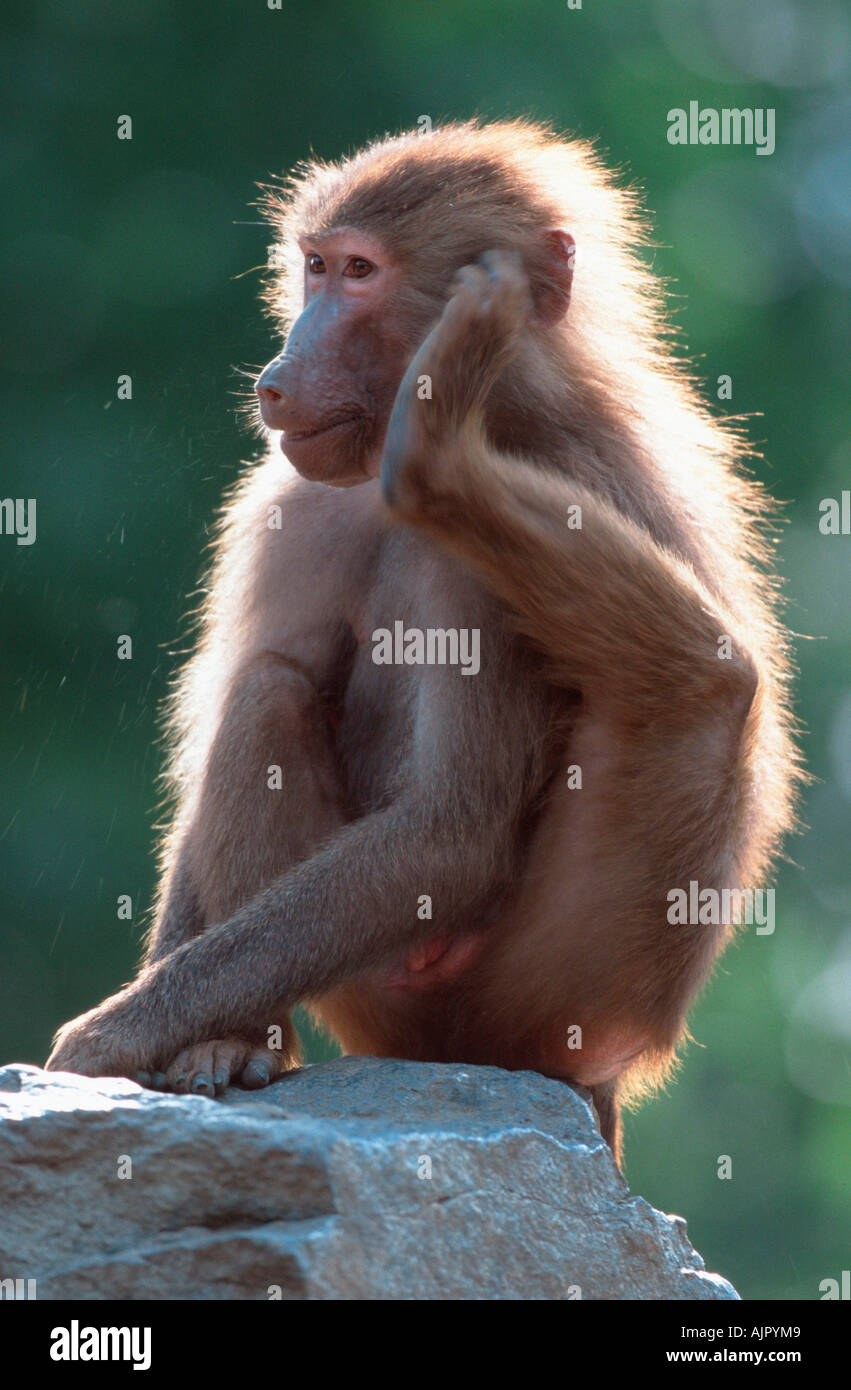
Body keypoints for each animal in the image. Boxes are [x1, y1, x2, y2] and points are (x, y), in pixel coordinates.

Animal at [46, 120, 801, 1162]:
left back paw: (437, 462)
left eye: (361, 272)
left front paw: (107, 1037)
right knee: (270, 686)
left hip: (540, 997)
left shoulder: (532, 514)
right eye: (315, 267)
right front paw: (160, 1032)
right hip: (381, 1001)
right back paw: (235, 1043)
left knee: (703, 687)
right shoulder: (294, 500)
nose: (276, 380)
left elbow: (456, 826)